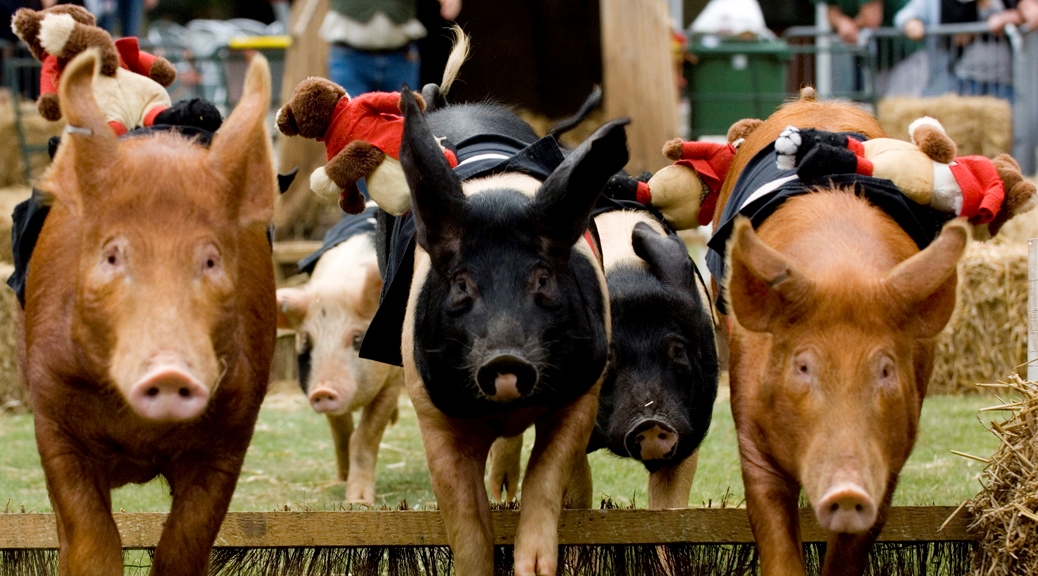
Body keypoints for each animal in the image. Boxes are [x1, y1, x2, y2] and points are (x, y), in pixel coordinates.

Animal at [19, 49, 277, 575]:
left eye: (211, 260)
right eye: (112, 256)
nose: (169, 370)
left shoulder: (233, 433)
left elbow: (183, 547)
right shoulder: (51, 419)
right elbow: (92, 544)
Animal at [276, 206, 404, 504]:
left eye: (357, 338)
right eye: (306, 341)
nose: (323, 390)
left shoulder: (392, 382)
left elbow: (364, 436)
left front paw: (359, 501)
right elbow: (343, 433)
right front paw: (342, 480)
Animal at [368, 88, 628, 576]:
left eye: (542, 279)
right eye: (461, 284)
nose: (505, 358)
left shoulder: (582, 390)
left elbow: (546, 473)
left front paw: (536, 567)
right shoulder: (432, 412)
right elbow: (467, 523)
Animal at [709, 88, 969, 575]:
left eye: (885, 370)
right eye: (802, 366)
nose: (847, 492)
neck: (841, 269)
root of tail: (817, 100)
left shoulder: (889, 459)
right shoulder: (751, 440)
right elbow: (776, 542)